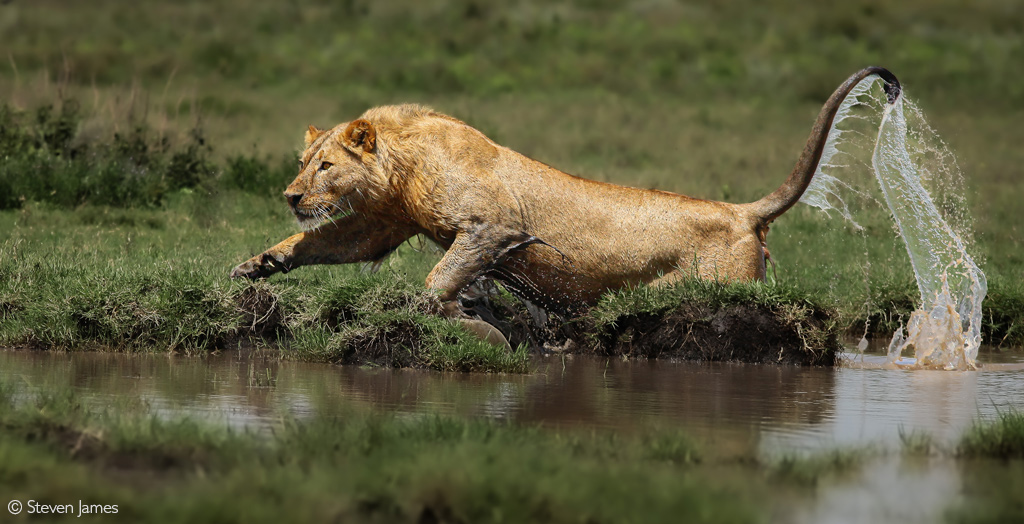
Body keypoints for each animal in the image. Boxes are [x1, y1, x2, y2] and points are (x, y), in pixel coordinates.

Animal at [231, 67, 900, 347]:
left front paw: (471, 325)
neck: (404, 167)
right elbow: (323, 243)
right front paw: (257, 264)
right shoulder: (384, 222)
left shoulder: (494, 226)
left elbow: (438, 278)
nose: (291, 195)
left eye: (326, 166)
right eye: (303, 161)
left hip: (723, 286)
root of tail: (743, 212)